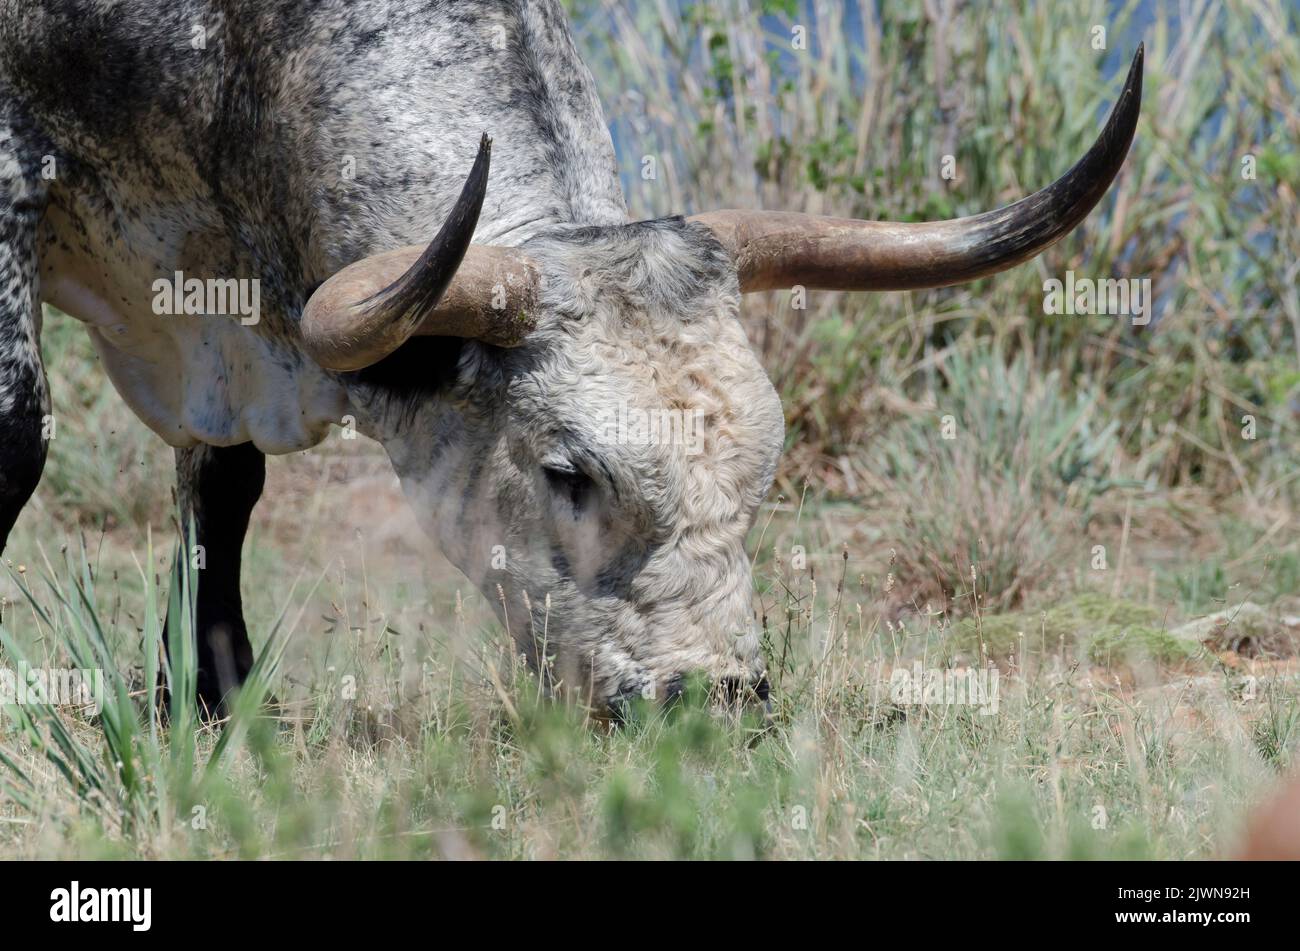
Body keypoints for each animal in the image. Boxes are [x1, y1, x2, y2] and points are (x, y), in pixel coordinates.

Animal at [0, 1, 1141, 717]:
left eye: (764, 477)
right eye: (567, 471)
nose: (714, 703)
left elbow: (223, 489)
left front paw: (205, 703)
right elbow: (21, 438)